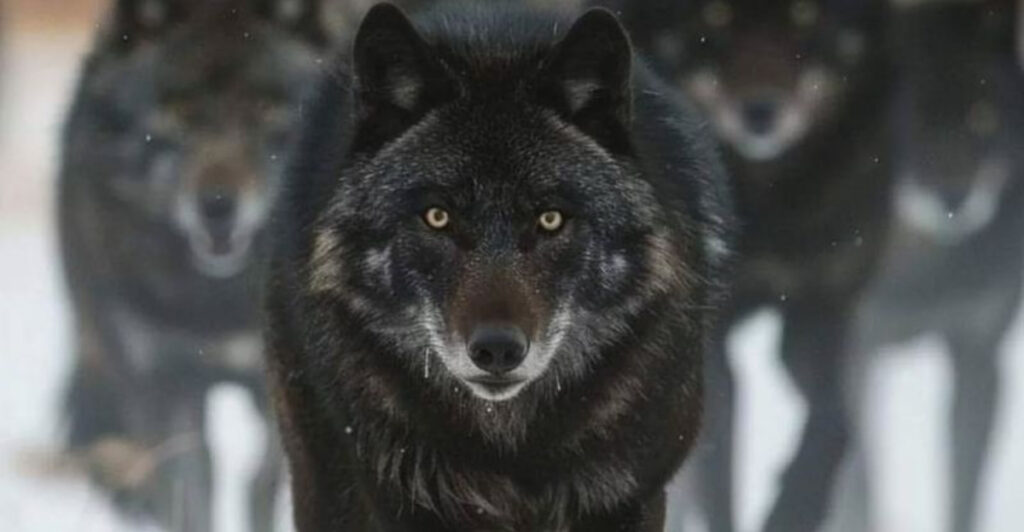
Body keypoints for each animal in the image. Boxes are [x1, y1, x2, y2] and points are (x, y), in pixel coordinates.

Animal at [57, 1, 328, 530]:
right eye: (182, 113)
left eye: (264, 109)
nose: (218, 206)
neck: (215, 305)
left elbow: (261, 480)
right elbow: (188, 492)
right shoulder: (162, 386)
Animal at [590, 1, 895, 531]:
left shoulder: (825, 306)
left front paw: (795, 507)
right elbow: (716, 480)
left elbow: (834, 420)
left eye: (806, 17)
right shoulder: (704, 345)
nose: (760, 112)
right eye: (715, 18)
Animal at [839, 2, 1024, 532]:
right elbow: (862, 487)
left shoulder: (979, 354)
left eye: (983, 115)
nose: (953, 198)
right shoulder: (854, 350)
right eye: (913, 114)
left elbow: (963, 494)